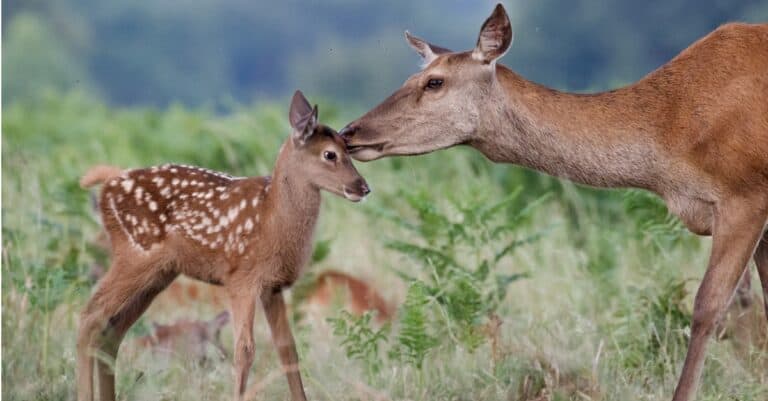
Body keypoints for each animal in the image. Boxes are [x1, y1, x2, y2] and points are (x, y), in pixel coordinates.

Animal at [76, 90, 370, 401]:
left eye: (348, 149)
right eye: (330, 154)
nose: (363, 187)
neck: (272, 220)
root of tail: (108, 185)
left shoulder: (272, 286)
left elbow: (287, 350)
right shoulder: (241, 278)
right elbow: (245, 350)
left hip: (157, 274)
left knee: (111, 329)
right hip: (134, 255)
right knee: (90, 317)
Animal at [339, 4, 767, 401]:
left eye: (434, 81)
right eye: (411, 77)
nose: (349, 132)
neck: (672, 138)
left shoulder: (743, 195)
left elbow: (708, 305)